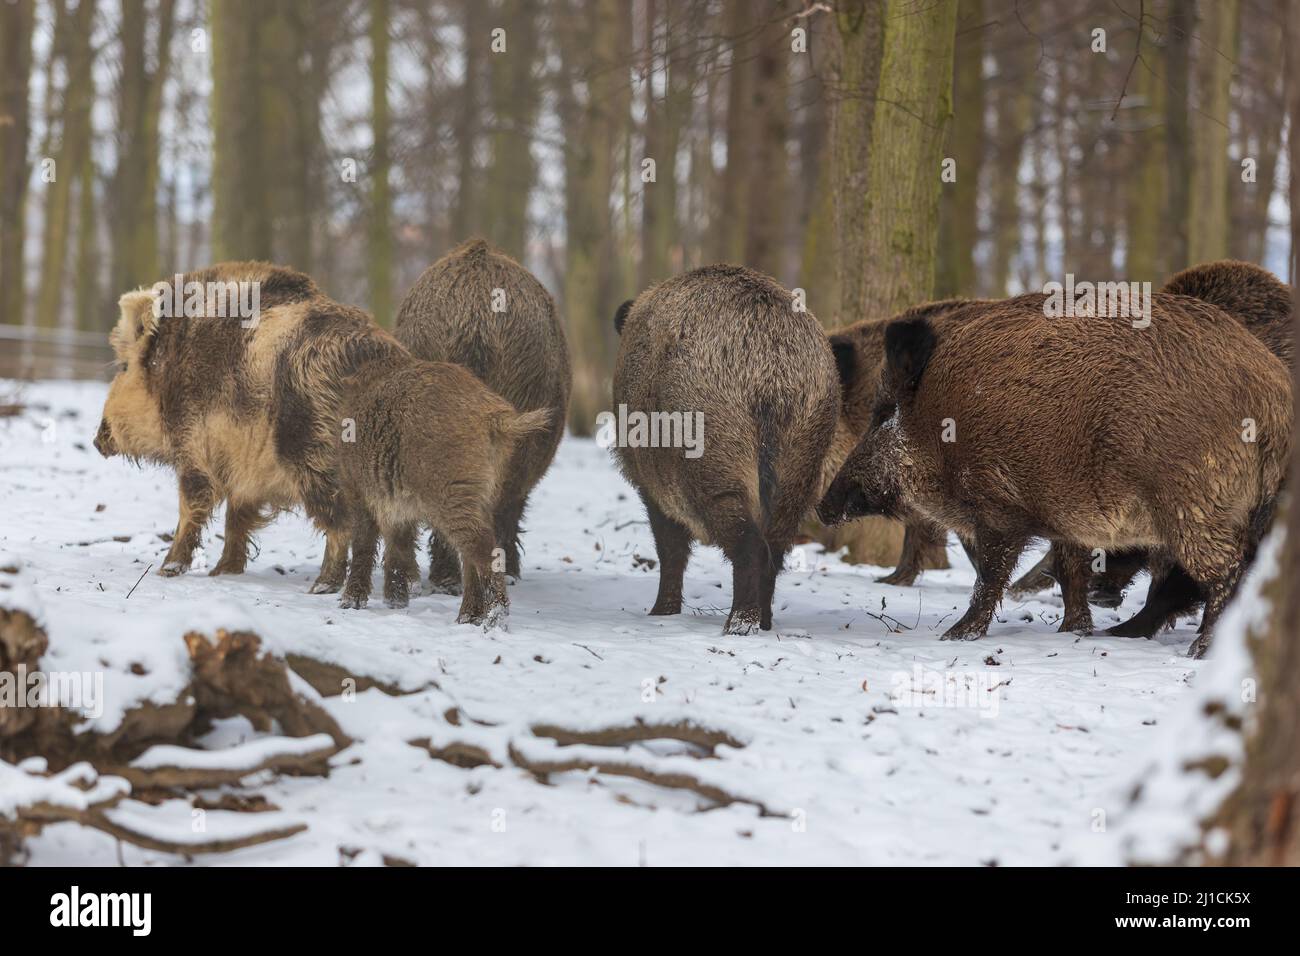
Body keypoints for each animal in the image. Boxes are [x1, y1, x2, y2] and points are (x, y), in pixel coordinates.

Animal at [94, 261, 403, 592]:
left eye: (124, 367)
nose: (97, 441)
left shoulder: (193, 448)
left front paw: (167, 570)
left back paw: (322, 586)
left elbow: (192, 505)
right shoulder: (244, 470)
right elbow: (237, 517)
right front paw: (224, 572)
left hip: (313, 454)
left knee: (342, 521)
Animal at [334, 360, 551, 627]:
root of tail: (493, 416)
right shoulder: (399, 506)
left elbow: (364, 542)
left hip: (452, 493)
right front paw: (396, 603)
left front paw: (349, 604)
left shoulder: (357, 490)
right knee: (472, 552)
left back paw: (494, 619)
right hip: (485, 494)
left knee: (481, 546)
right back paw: (467, 618)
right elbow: (399, 542)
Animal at [612, 264, 839, 634]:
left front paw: (660, 614)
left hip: (715, 463)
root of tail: (773, 375)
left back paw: (737, 627)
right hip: (802, 462)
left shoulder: (651, 486)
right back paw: (763, 624)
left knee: (749, 546)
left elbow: (670, 548)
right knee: (775, 549)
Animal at [817, 291, 1290, 658]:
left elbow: (989, 576)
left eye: (883, 414)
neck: (938, 425)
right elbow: (1069, 572)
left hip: (1195, 506)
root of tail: (1274, 399)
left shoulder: (998, 506)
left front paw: (955, 636)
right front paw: (1074, 631)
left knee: (1224, 574)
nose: (823, 508)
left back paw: (1198, 650)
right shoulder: (1067, 519)